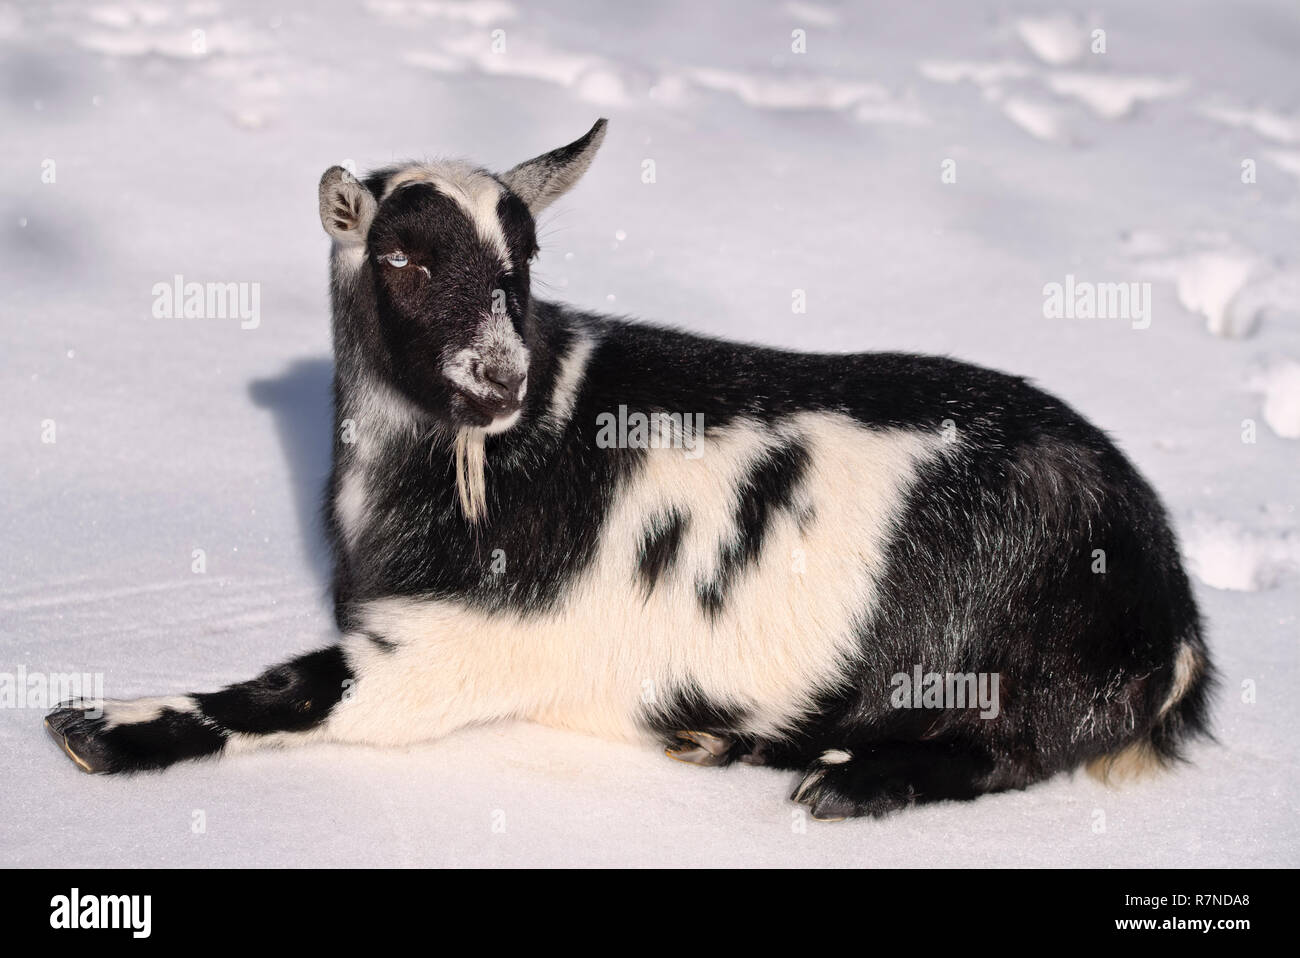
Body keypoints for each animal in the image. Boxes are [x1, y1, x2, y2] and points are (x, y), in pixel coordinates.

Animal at [45, 119, 1214, 819]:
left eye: (523, 264)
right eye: (401, 257)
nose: (498, 378)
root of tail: (1175, 616)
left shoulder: (449, 651)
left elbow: (296, 693)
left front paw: (99, 729)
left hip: (1040, 667)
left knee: (1011, 747)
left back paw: (852, 781)